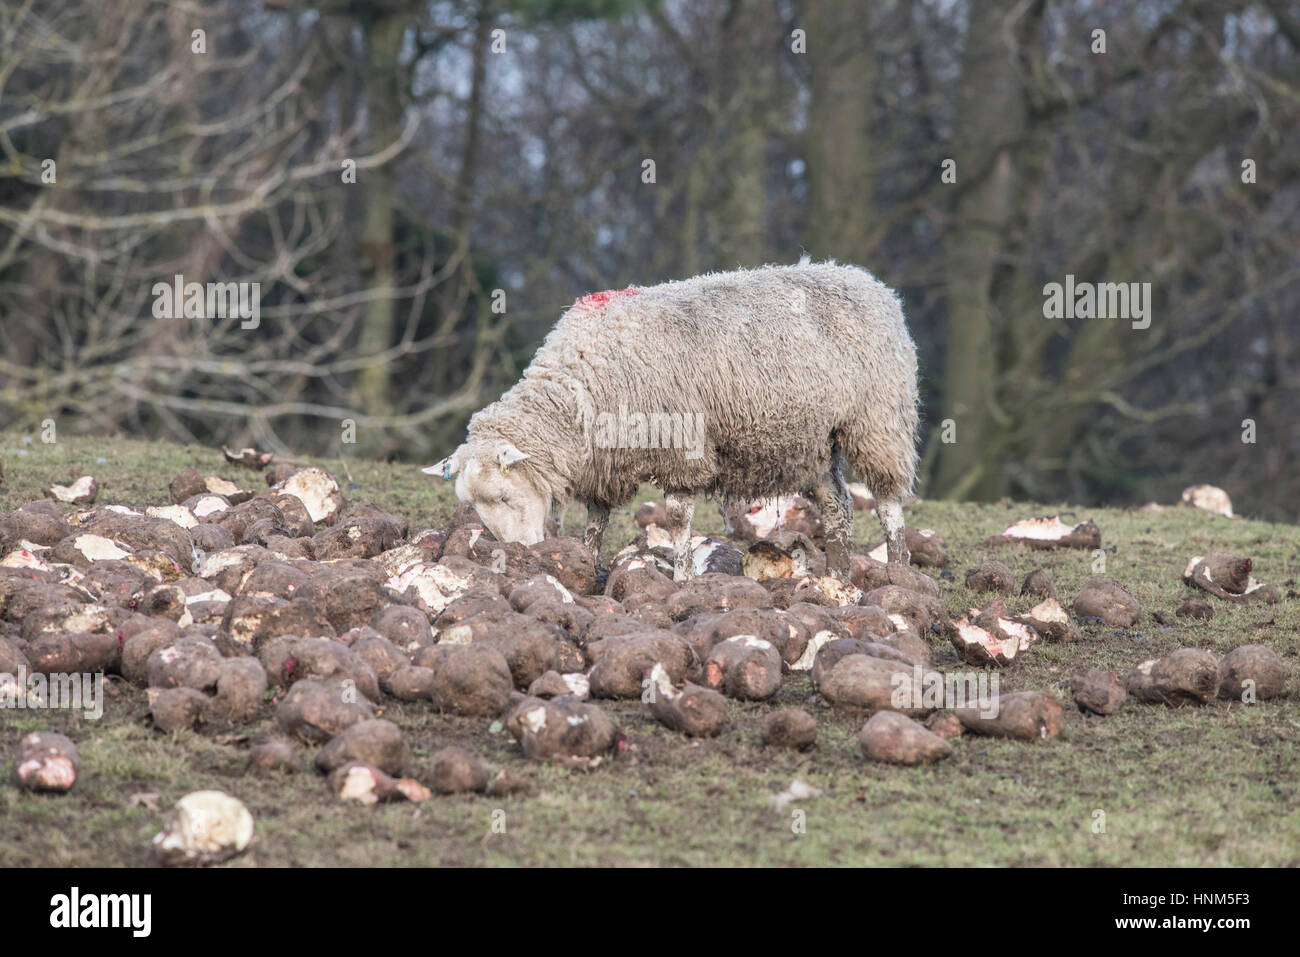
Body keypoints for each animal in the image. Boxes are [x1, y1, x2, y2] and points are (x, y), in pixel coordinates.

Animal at [427, 261, 920, 581]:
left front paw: (683, 578)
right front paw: (584, 561)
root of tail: (865, 279)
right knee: (837, 504)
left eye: (504, 496)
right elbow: (596, 520)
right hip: (812, 440)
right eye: (477, 508)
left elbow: (679, 520)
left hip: (878, 420)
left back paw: (896, 569)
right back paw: (837, 576)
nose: (517, 552)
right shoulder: (604, 459)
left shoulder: (682, 446)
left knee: (888, 502)